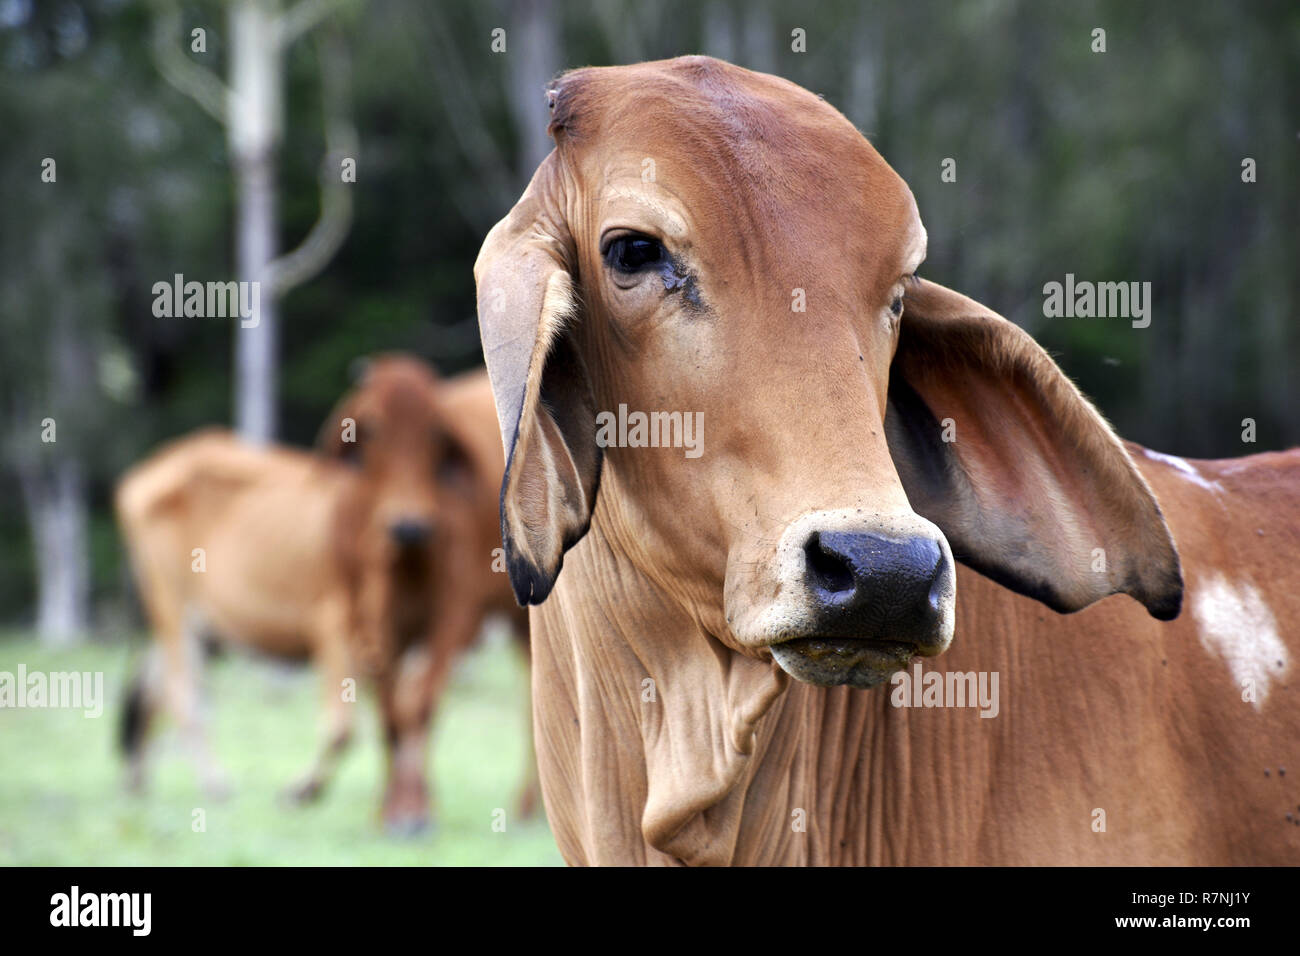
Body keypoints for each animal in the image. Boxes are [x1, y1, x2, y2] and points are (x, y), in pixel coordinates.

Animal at [116, 356, 531, 832]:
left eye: (436, 431)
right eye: (370, 428)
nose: (409, 526)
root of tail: (150, 471)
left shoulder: (443, 624)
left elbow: (411, 712)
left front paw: (409, 808)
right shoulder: (342, 628)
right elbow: (355, 724)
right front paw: (313, 792)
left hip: (198, 626)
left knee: (152, 691)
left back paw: (139, 777)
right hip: (171, 609)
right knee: (182, 695)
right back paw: (212, 782)